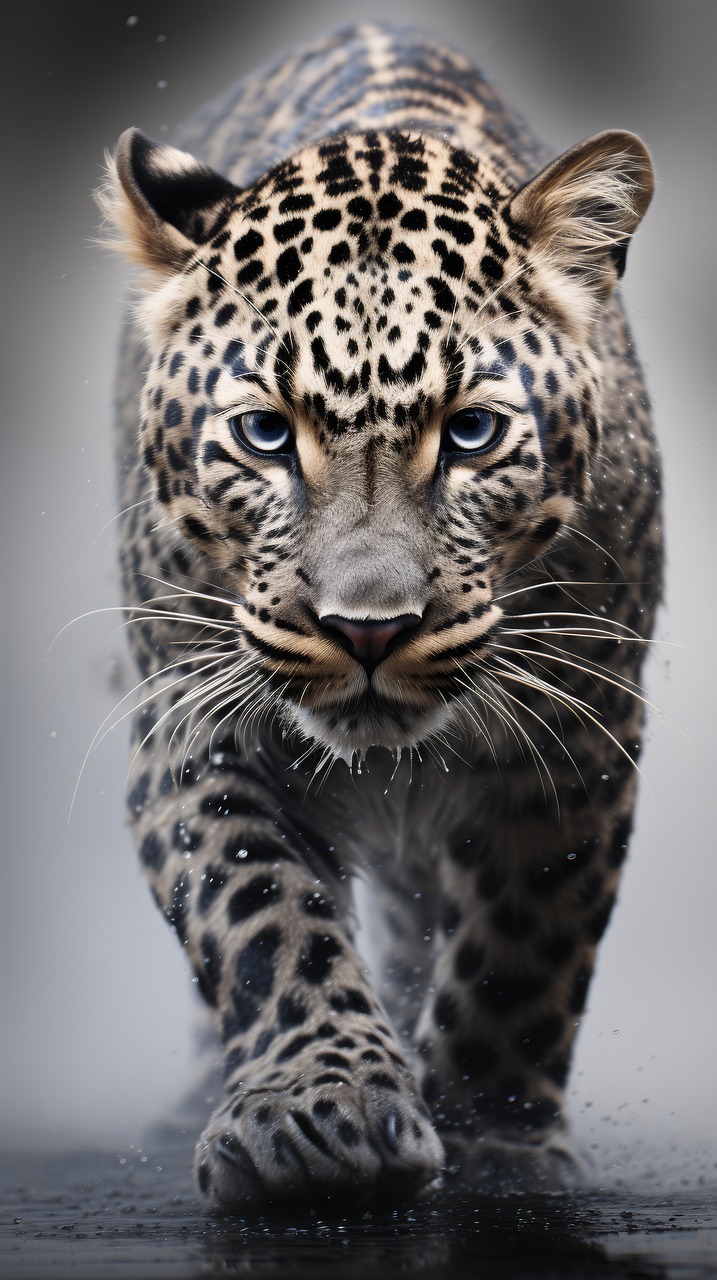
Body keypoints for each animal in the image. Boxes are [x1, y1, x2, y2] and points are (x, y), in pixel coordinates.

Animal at [98, 23, 661, 1209]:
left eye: (473, 434)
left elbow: (525, 941)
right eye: (265, 435)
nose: (368, 629)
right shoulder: (192, 723)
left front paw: (496, 1140)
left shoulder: (581, 730)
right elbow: (261, 910)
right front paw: (320, 1112)